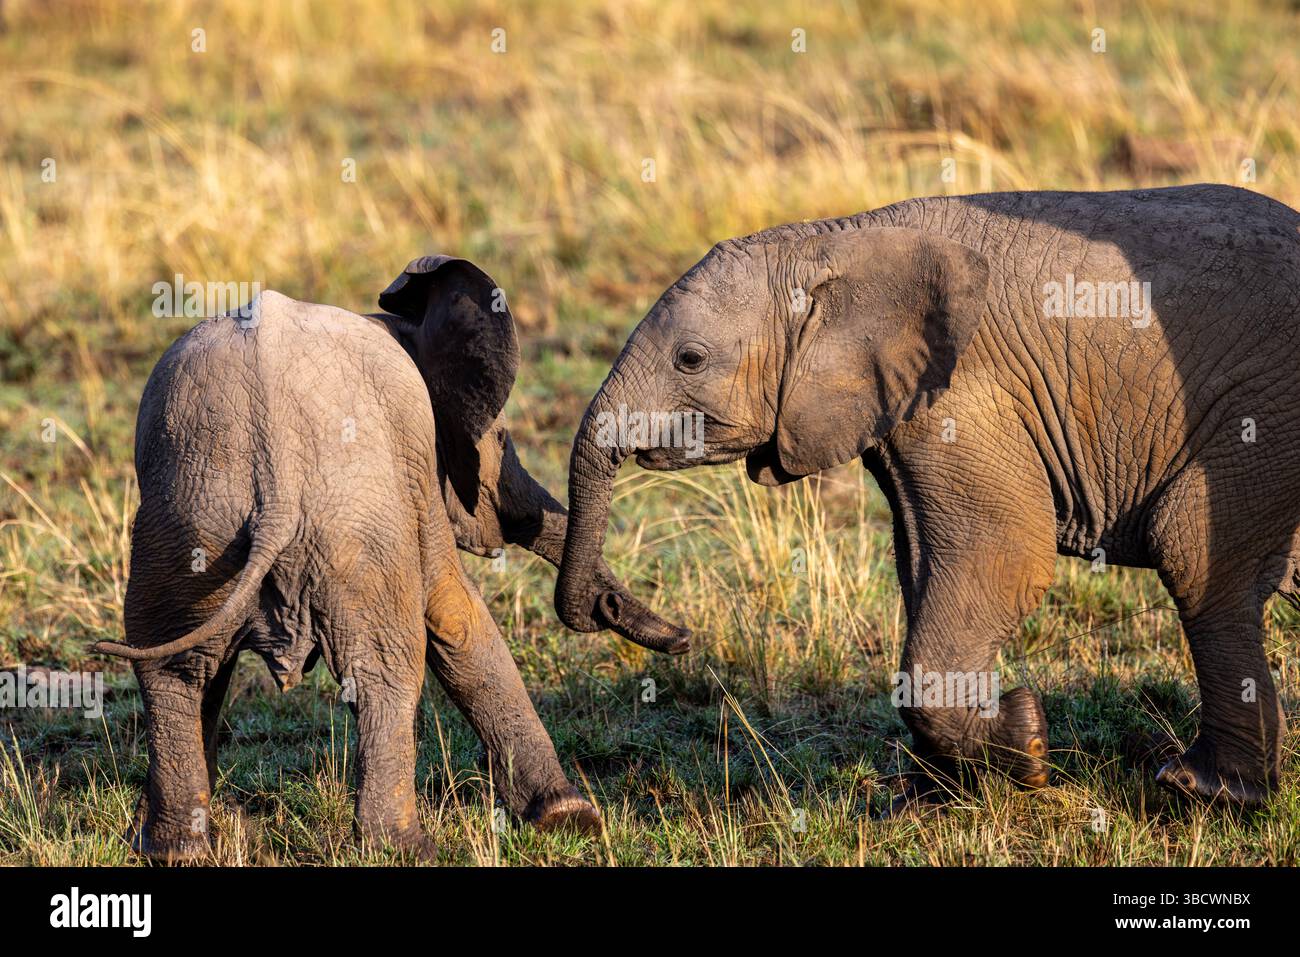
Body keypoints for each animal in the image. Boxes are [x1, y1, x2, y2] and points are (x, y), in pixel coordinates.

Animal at [92, 254, 689, 862]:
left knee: (172, 667)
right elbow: (453, 611)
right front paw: (572, 821)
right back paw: (403, 848)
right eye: (500, 437)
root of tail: (276, 481)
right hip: (350, 526)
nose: (684, 638)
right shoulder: (415, 463)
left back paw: (169, 849)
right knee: (385, 667)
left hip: (188, 525)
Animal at [555, 183, 1300, 809]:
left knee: (1193, 554)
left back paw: (1206, 788)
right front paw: (937, 793)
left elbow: (1002, 556)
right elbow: (921, 562)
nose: (668, 632)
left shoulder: (967, 393)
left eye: (690, 359)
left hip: (1260, 411)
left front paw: (1025, 741)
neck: (831, 240)